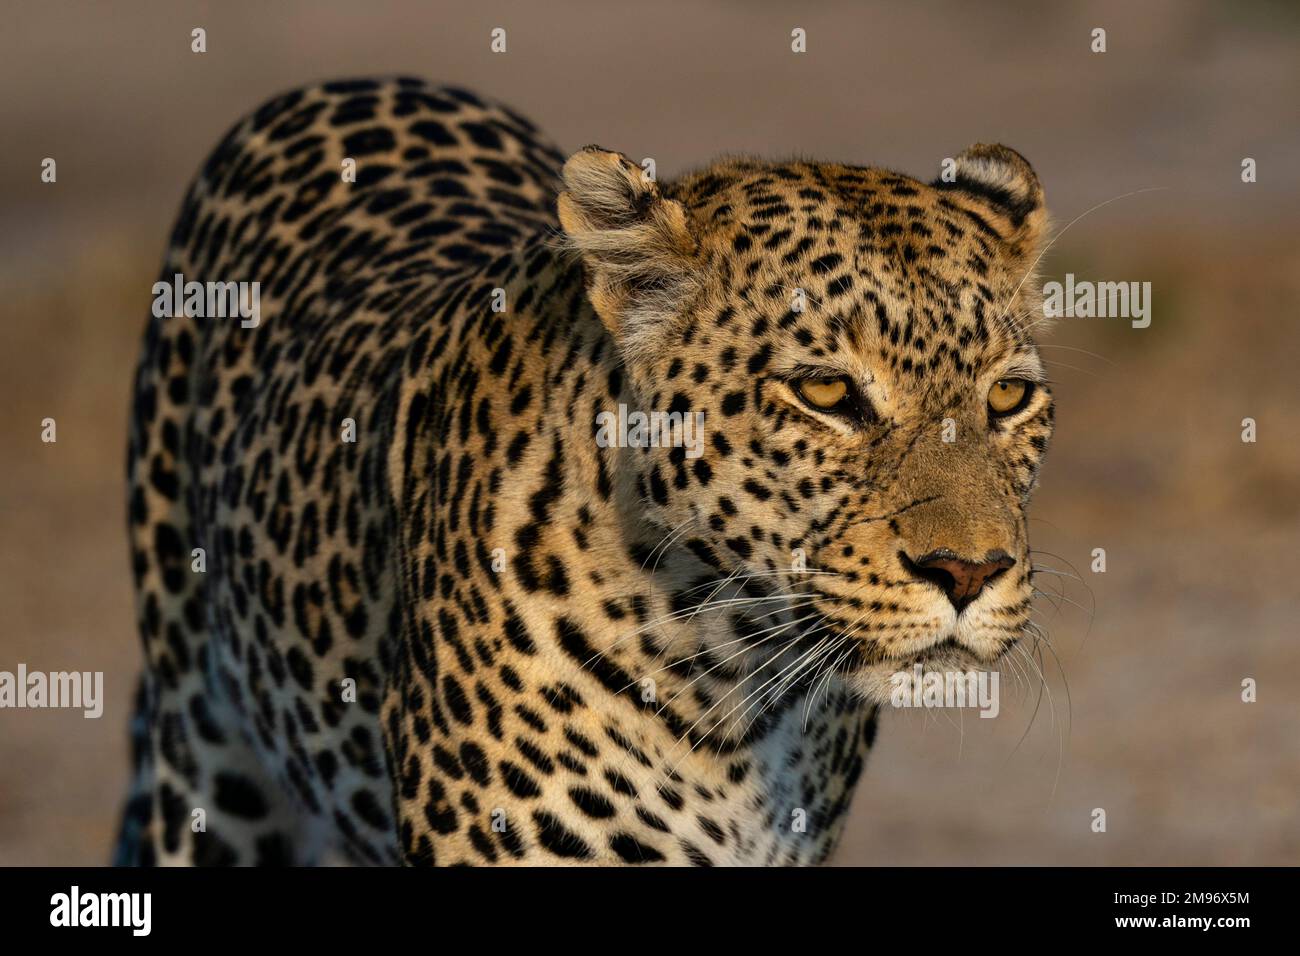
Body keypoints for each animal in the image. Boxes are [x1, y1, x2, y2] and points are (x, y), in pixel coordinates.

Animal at [115, 76, 1054, 867]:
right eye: (825, 391)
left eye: (1008, 397)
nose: (969, 572)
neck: (740, 690)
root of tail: (347, 83)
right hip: (205, 760)